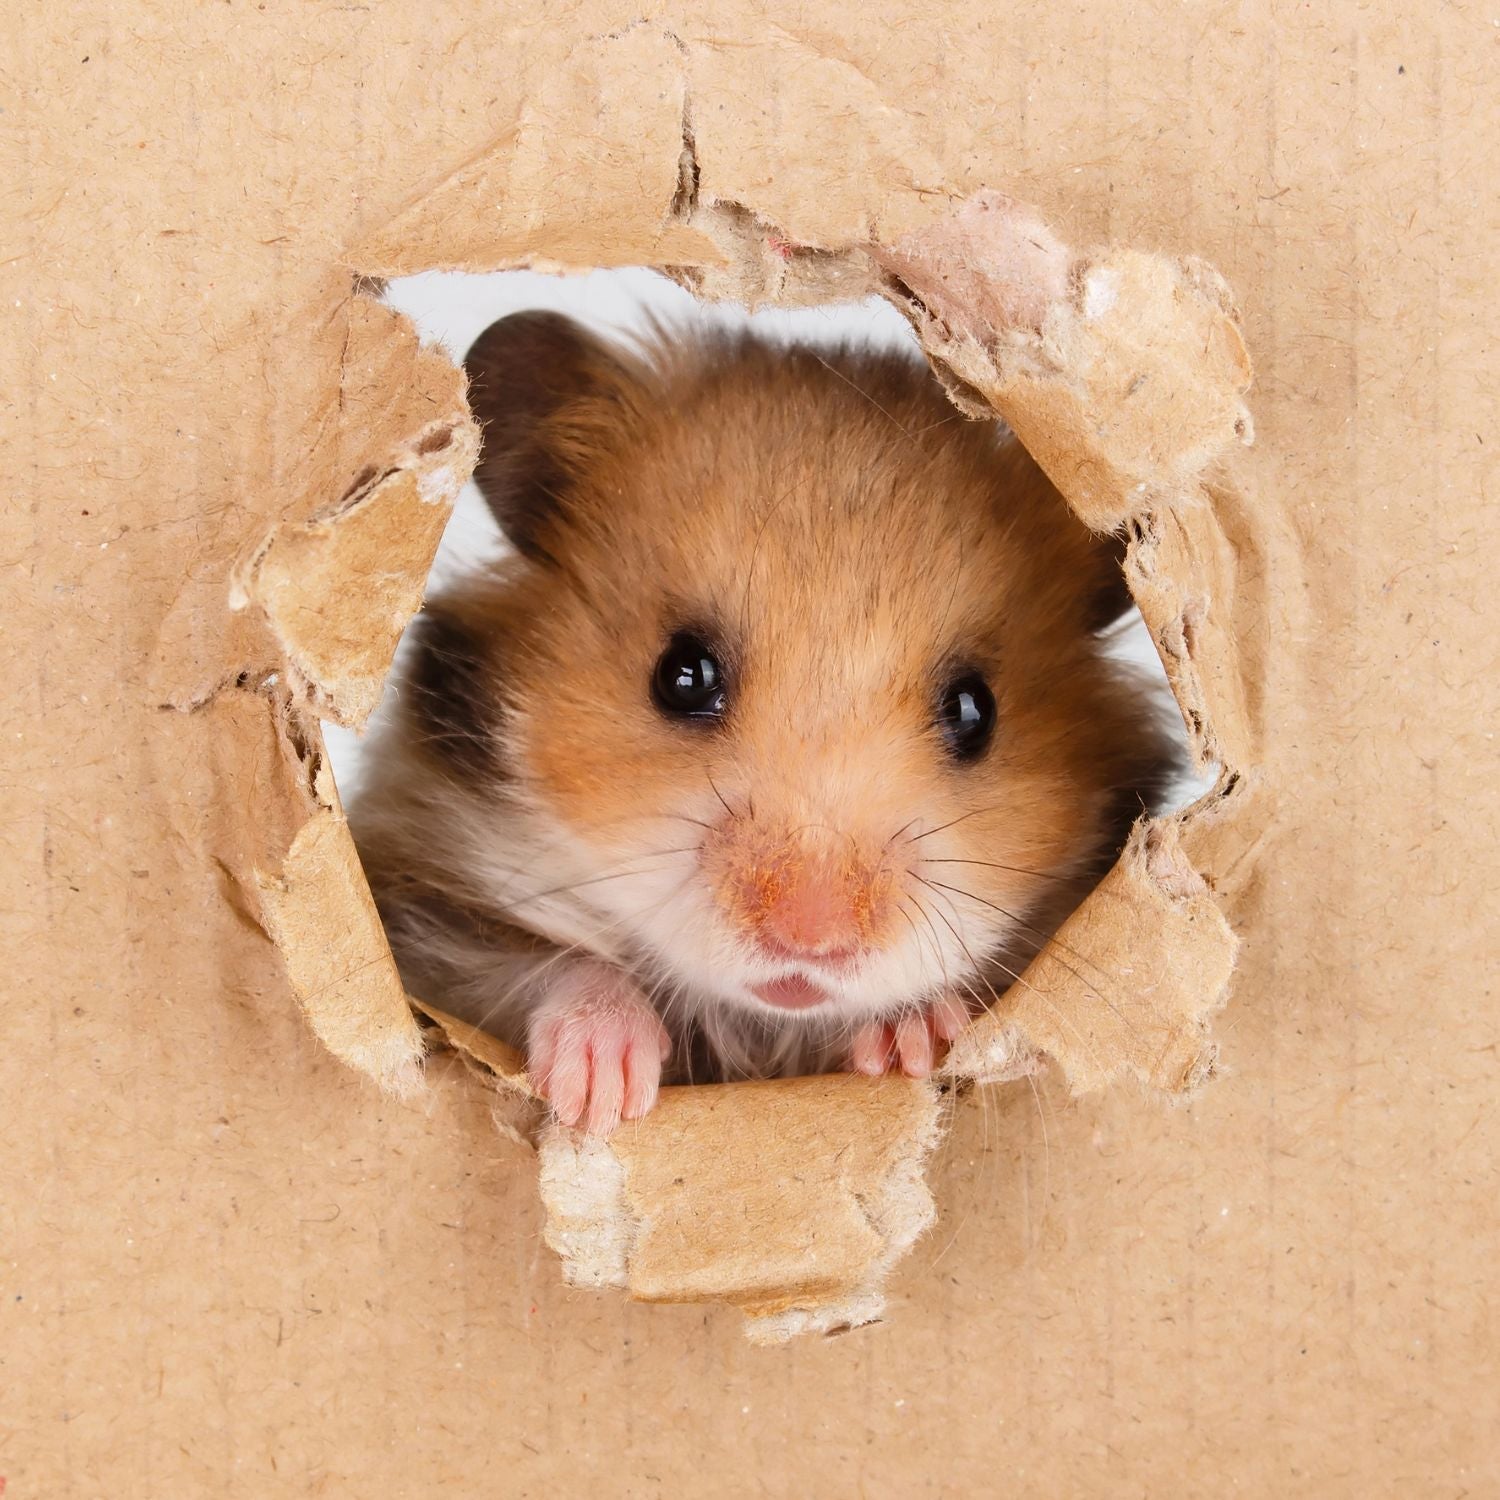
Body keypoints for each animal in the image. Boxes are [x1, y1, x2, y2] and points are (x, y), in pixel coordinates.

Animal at [348, 310, 1179, 1134]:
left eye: (976, 711)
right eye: (682, 675)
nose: (810, 941)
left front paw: (911, 1039)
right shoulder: (424, 912)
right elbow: (549, 964)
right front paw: (604, 1091)